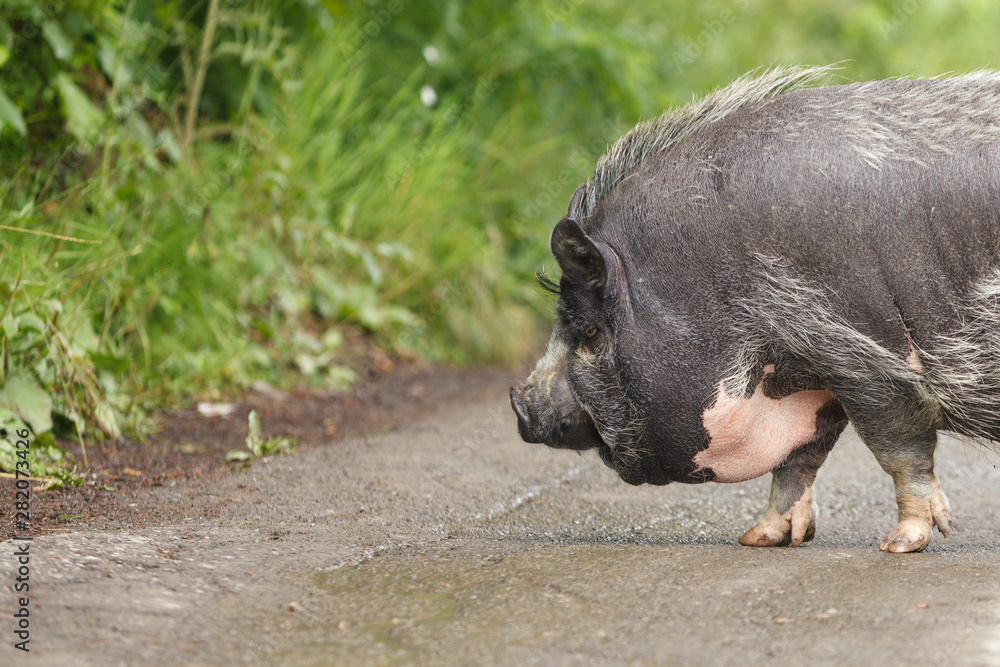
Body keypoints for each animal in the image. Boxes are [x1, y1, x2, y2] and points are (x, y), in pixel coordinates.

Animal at [509, 66, 1000, 553]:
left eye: (590, 330)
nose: (521, 405)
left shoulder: (864, 357)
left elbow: (898, 447)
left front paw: (898, 545)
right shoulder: (815, 377)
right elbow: (797, 462)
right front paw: (758, 539)